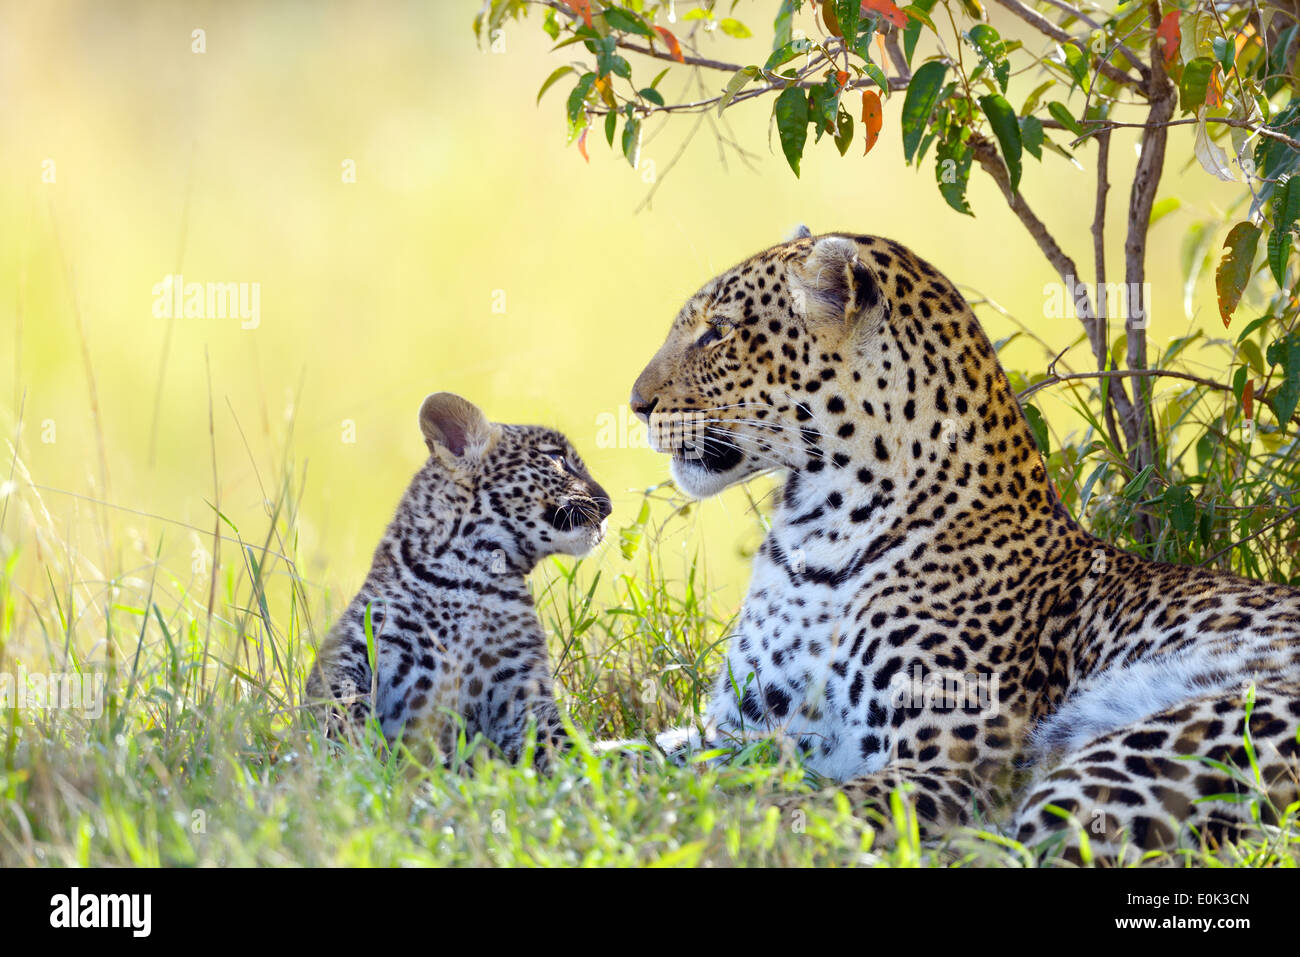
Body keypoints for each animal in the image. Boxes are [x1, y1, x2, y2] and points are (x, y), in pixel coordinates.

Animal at [304, 391, 611, 766]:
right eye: (557, 458)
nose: (608, 506)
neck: (470, 574)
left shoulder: (522, 694)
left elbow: (564, 743)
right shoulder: (350, 650)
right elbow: (341, 702)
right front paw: (355, 755)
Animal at [628, 227, 1300, 861]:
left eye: (718, 332)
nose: (634, 405)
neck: (813, 535)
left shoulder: (945, 764)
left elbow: (793, 811)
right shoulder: (736, 728)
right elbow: (634, 756)